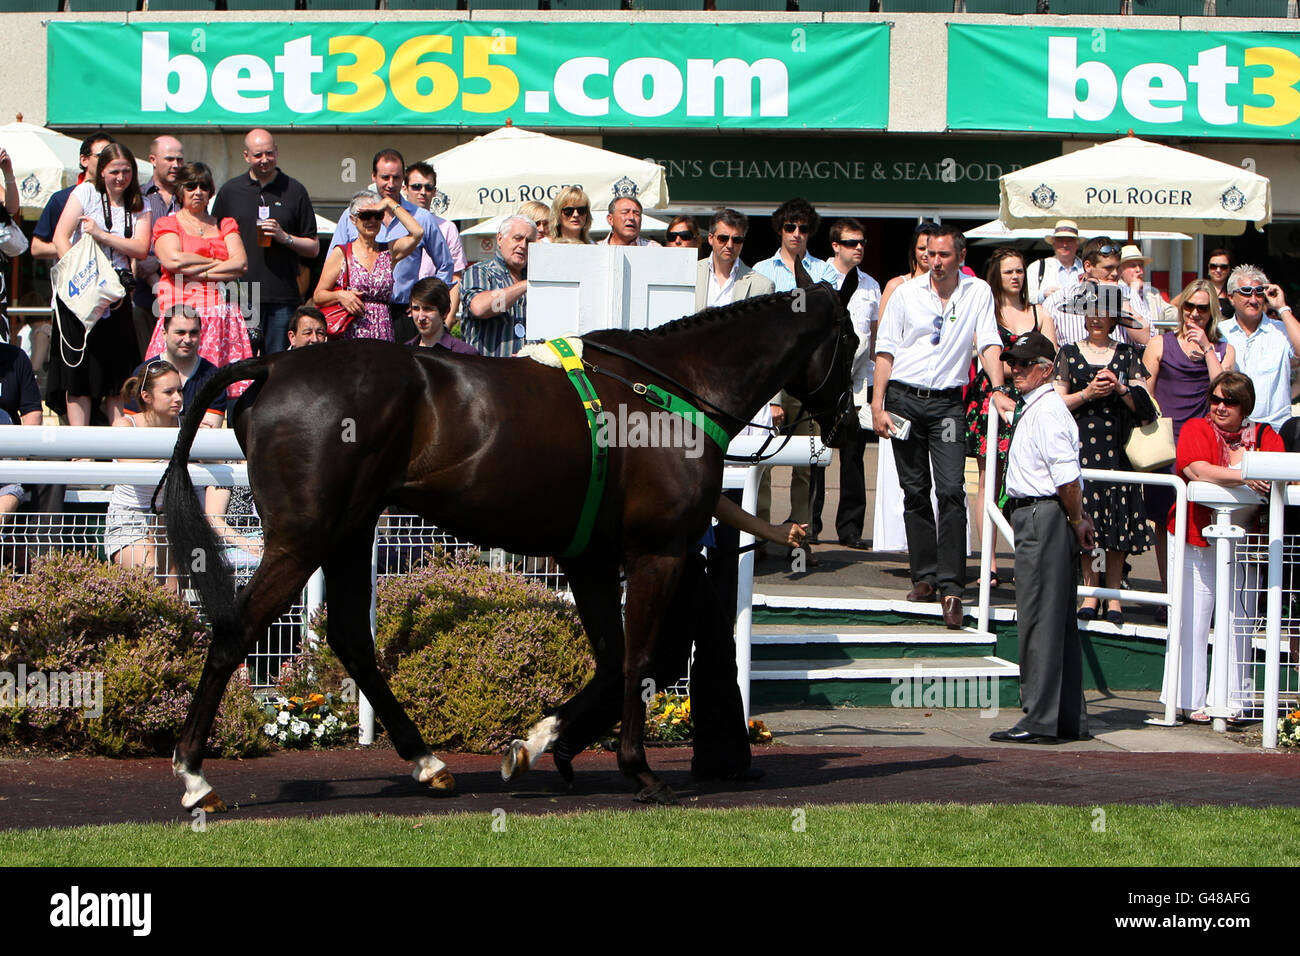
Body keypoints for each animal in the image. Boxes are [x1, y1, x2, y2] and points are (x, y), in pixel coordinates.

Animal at [161, 268, 858, 810]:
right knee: (236, 630)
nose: (850, 426)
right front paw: (637, 770)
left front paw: (540, 743)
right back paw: (194, 776)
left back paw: (429, 764)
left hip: (350, 530)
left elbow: (612, 661)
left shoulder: (590, 556)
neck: (670, 391)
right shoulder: (654, 551)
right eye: (852, 339)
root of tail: (274, 362)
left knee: (352, 639)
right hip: (303, 536)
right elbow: (639, 661)